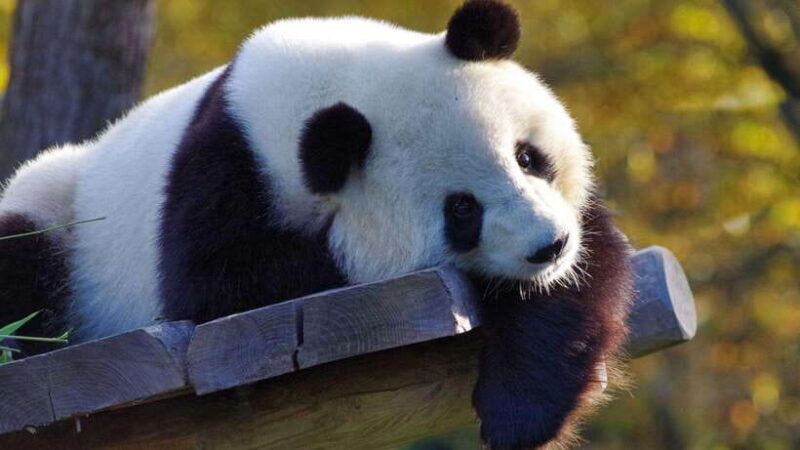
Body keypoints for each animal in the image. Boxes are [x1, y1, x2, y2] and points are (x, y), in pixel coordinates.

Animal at [0, 1, 633, 448]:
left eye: (528, 156)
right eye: (462, 210)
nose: (548, 246)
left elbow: (586, 271)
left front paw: (519, 410)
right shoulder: (218, 178)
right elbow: (220, 290)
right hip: (58, 208)